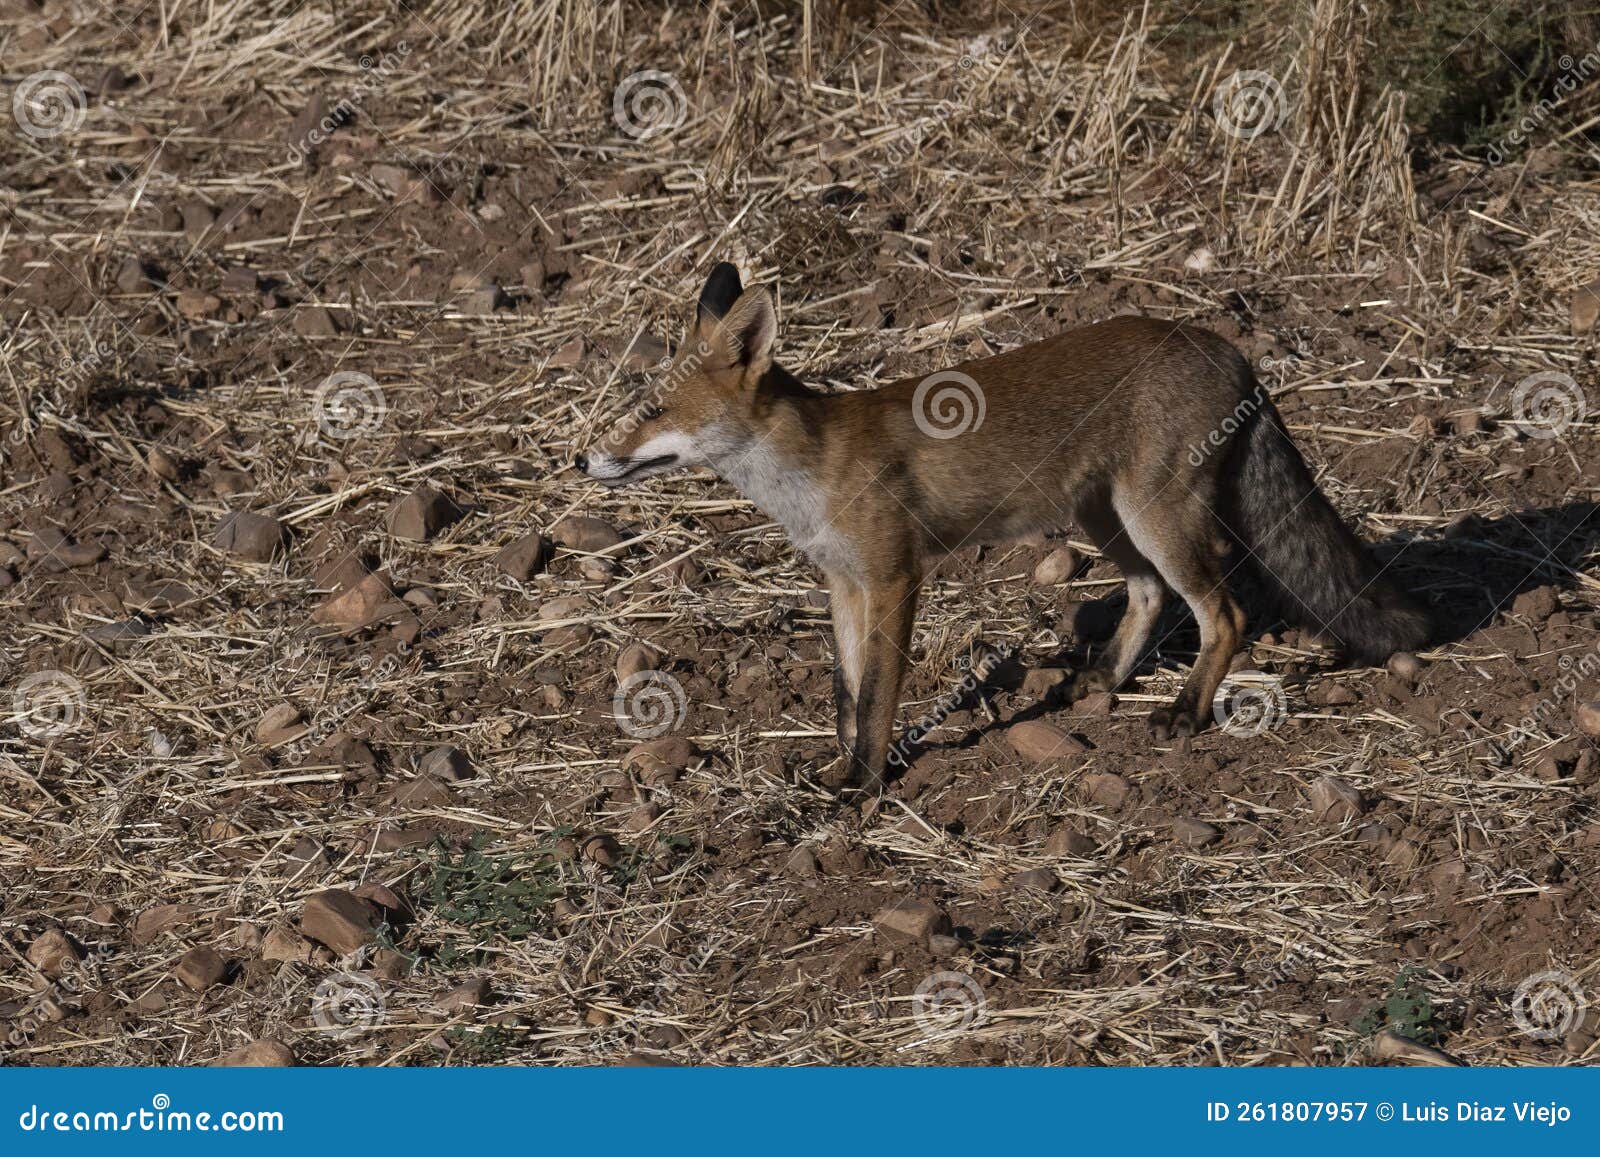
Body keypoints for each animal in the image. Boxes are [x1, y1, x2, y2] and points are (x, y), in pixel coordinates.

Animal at [577, 263, 1430, 791]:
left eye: (652, 409)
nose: (585, 457)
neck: (808, 472)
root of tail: (1223, 344)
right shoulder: (843, 582)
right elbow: (847, 695)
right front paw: (840, 772)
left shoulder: (894, 576)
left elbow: (878, 697)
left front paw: (866, 787)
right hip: (1108, 518)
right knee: (1151, 595)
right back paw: (1104, 681)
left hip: (1156, 517)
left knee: (1226, 613)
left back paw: (1184, 711)